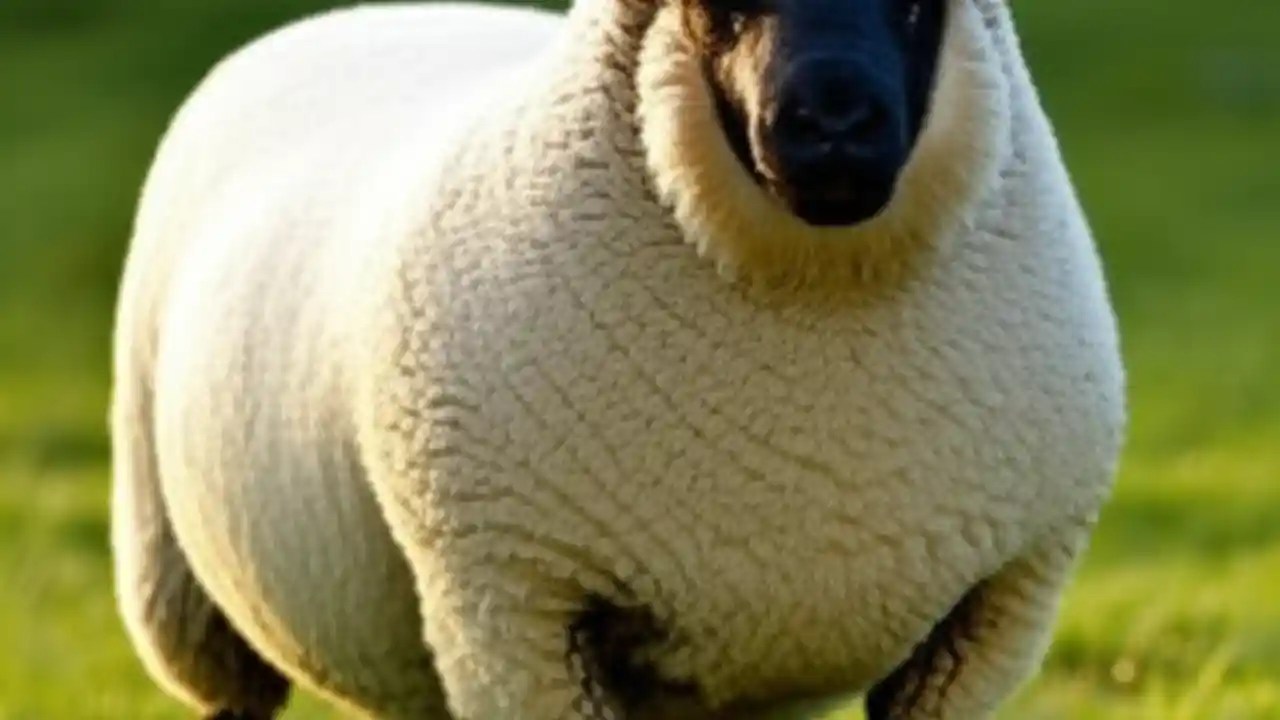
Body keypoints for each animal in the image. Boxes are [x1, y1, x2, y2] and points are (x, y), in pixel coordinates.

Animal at [110, 0, 1126, 718]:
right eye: (721, 1)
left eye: (920, 0)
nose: (832, 123)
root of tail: (367, 15)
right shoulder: (519, 609)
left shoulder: (994, 611)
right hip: (185, 585)